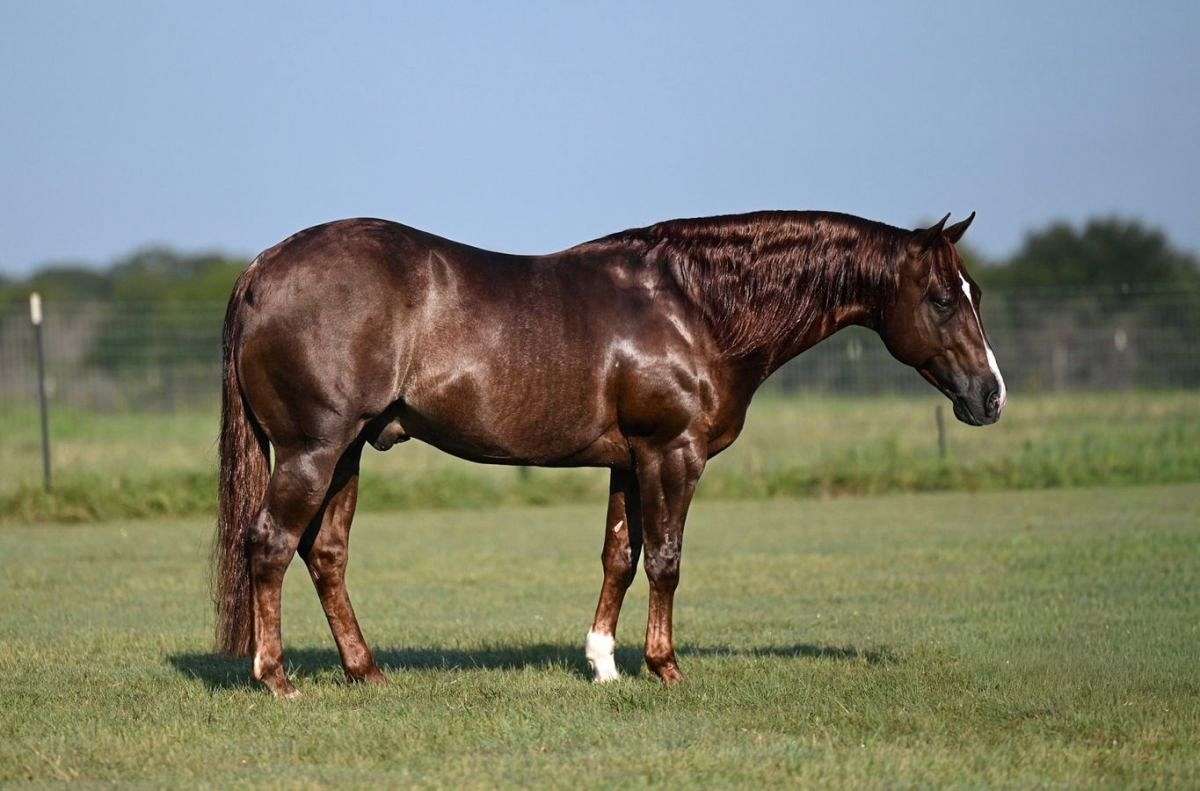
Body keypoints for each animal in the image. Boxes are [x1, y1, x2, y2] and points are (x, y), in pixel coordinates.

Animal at [213, 209, 1006, 697]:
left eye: (976, 291)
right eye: (942, 298)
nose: (990, 396)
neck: (693, 307)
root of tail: (262, 269)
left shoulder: (628, 461)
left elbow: (620, 556)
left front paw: (603, 663)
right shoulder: (672, 454)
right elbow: (666, 561)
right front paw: (667, 666)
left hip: (348, 450)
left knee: (325, 555)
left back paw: (366, 671)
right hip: (314, 449)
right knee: (271, 543)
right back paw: (276, 678)